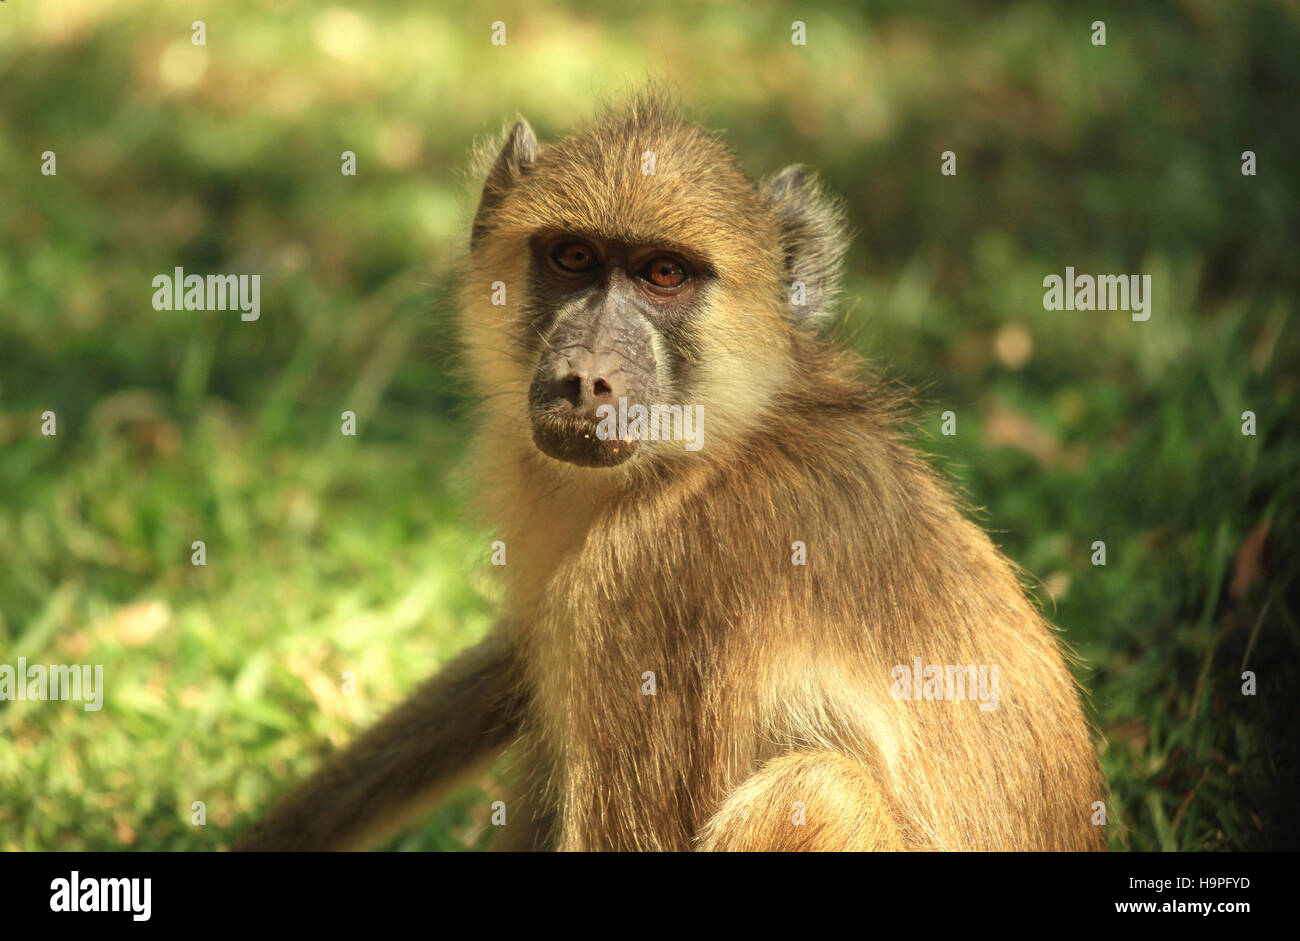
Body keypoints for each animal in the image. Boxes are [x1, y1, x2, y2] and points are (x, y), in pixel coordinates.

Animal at [236, 93, 1105, 852]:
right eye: (574, 258)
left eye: (664, 275)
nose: (586, 378)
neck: (711, 454)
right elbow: (521, 661)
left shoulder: (641, 580)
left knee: (819, 788)